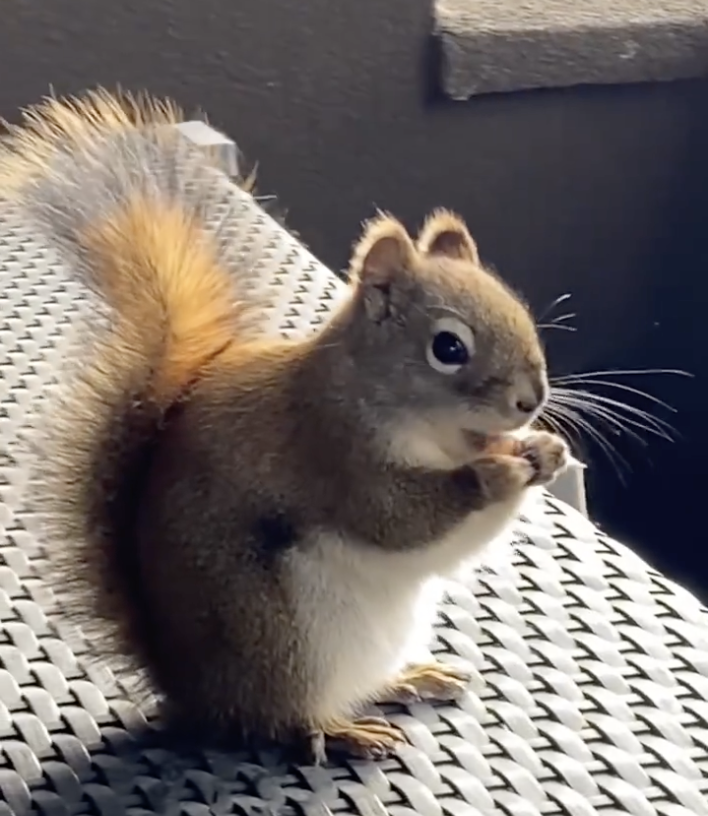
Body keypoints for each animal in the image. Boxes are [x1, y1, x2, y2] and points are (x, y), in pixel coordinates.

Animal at [1, 89, 569, 764]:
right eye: (448, 348)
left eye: (519, 310)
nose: (531, 400)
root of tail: (193, 693)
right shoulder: (333, 454)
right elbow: (402, 519)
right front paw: (498, 472)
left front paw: (544, 451)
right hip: (282, 639)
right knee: (278, 721)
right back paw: (340, 730)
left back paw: (407, 679)